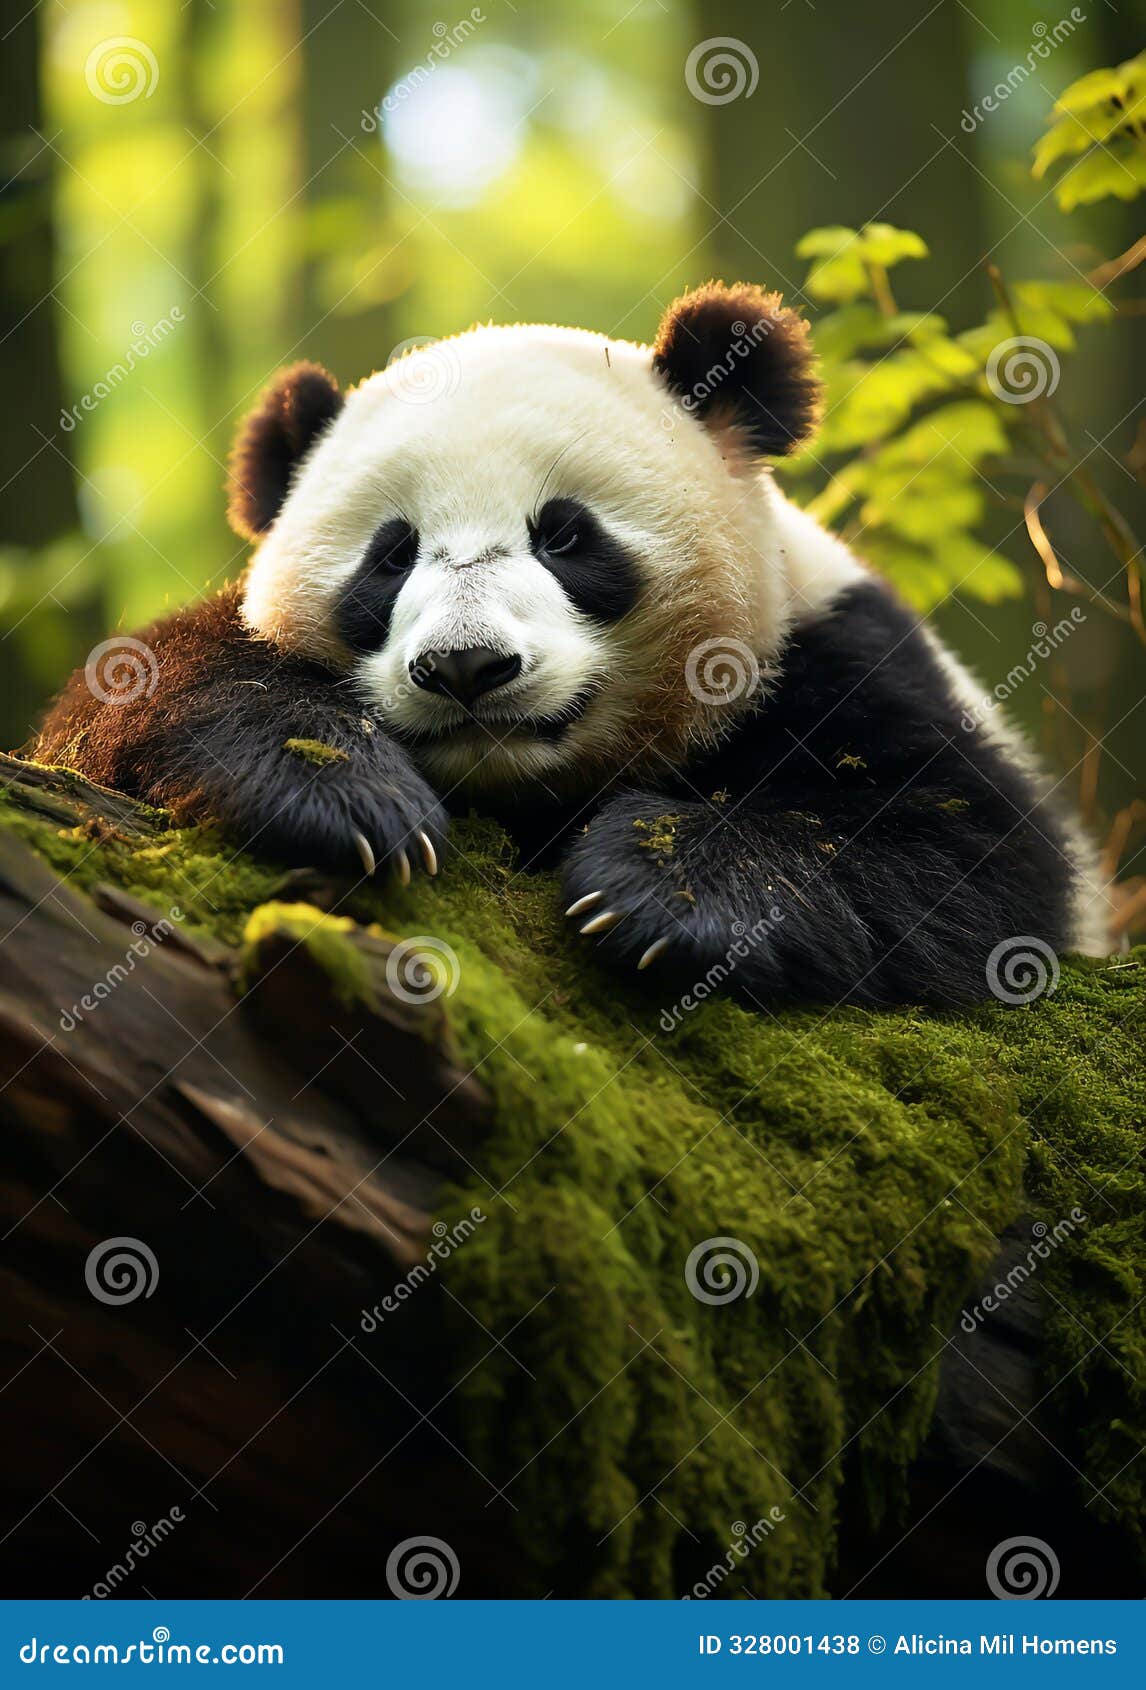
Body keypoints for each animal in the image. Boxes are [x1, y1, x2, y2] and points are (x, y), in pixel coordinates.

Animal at [36, 283, 1108, 1008]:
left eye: (564, 535)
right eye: (391, 556)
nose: (466, 666)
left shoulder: (836, 651)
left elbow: (964, 846)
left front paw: (663, 893)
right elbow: (139, 692)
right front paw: (339, 795)